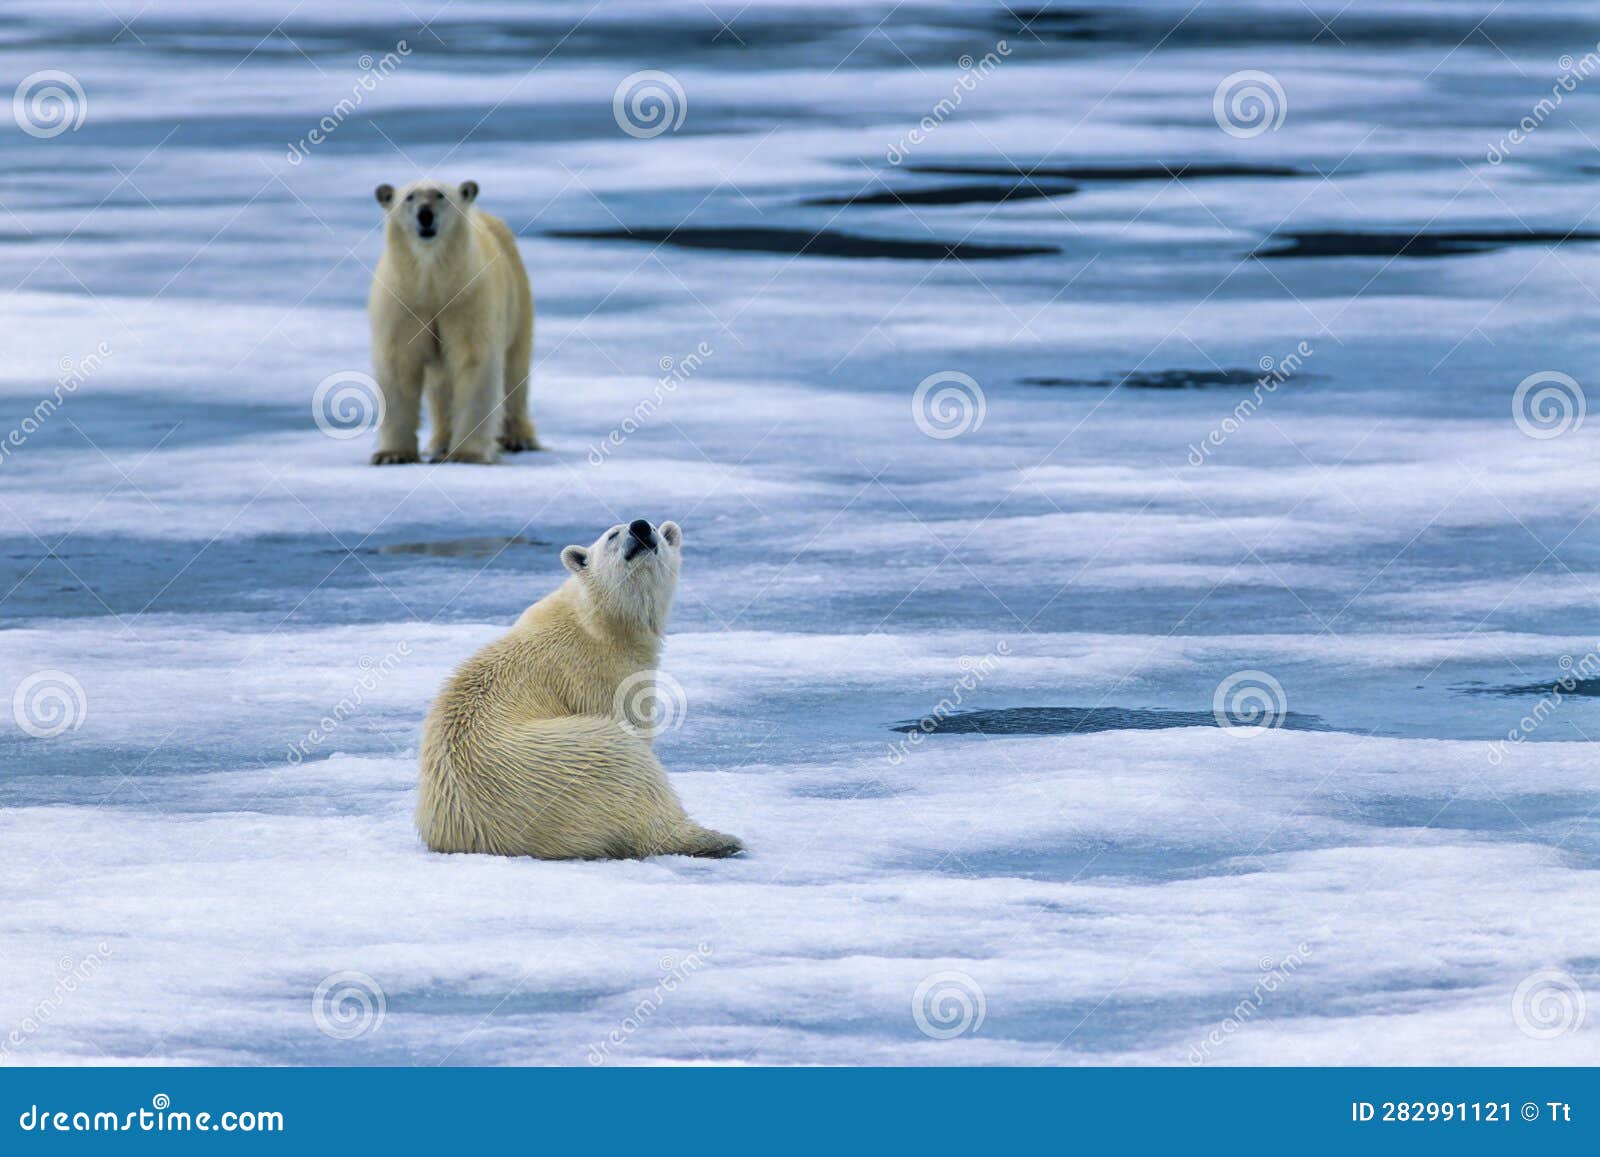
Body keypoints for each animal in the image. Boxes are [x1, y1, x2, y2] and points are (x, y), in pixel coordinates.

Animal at [368, 178, 539, 465]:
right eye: (409, 197)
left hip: (518, 300)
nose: (425, 214)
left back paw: (518, 438)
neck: (433, 282)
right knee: (440, 384)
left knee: (515, 372)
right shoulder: (405, 303)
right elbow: (399, 364)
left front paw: (467, 453)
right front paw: (392, 454)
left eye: (441, 195)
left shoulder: (466, 300)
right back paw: (440, 442)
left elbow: (474, 361)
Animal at [416, 518, 745, 860]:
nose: (640, 527)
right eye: (613, 535)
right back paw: (714, 838)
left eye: (653, 527)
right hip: (584, 760)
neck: (599, 622)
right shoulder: (598, 676)